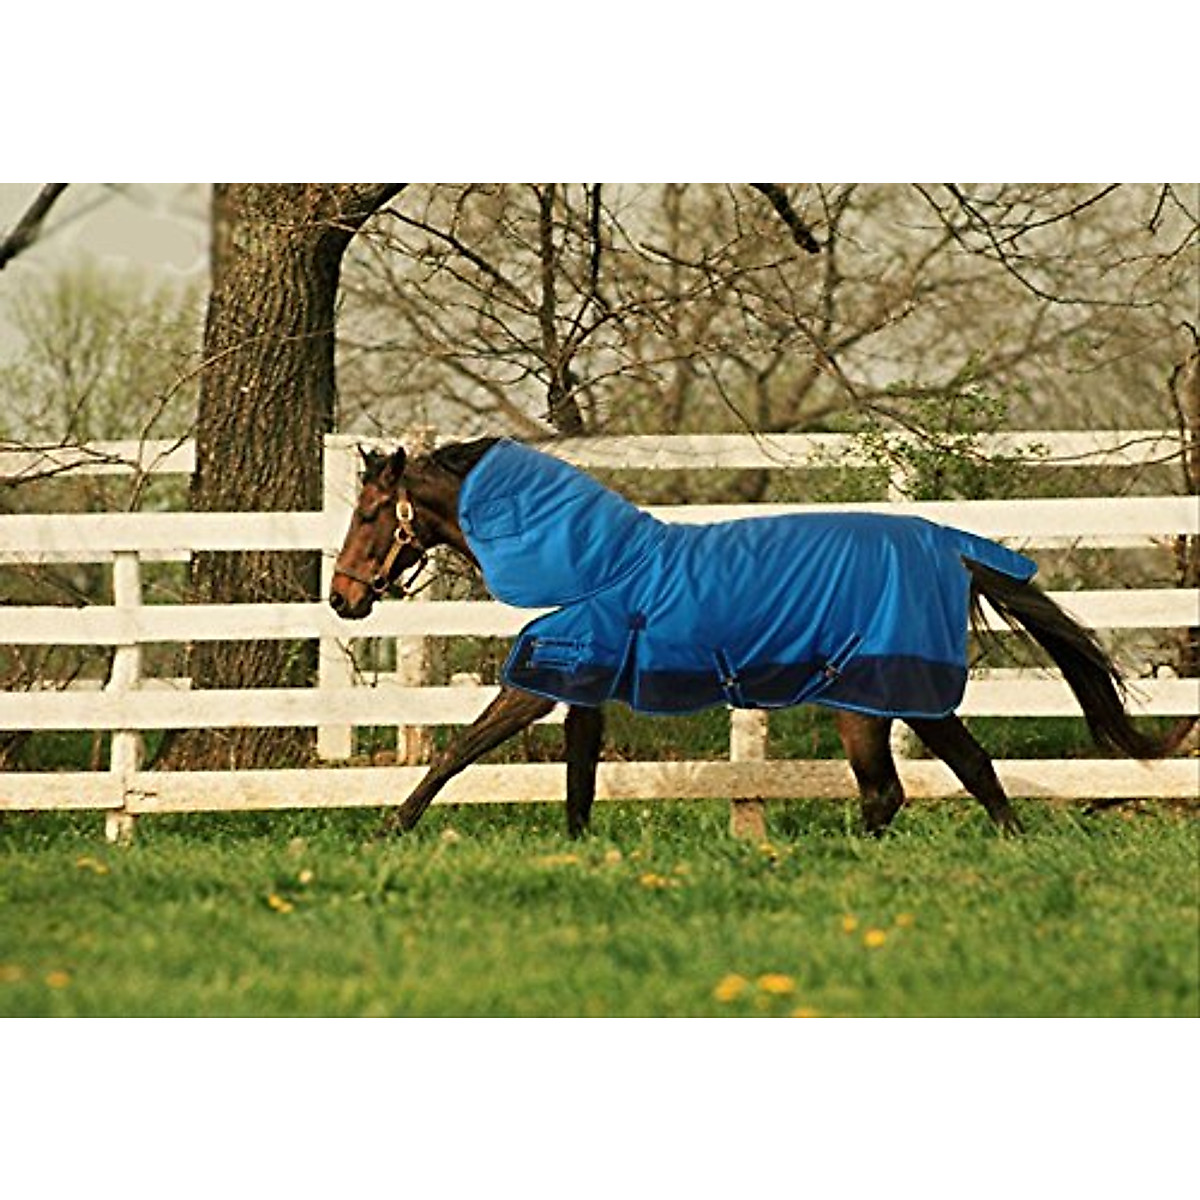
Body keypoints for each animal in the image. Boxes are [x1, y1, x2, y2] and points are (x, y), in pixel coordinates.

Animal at [329, 436, 1168, 838]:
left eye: (370, 513)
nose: (342, 599)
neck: (595, 566)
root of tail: (954, 548)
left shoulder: (539, 684)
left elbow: (457, 752)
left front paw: (388, 830)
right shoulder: (581, 689)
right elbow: (578, 779)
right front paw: (579, 848)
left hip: (883, 696)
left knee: (929, 780)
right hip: (883, 701)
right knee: (929, 780)